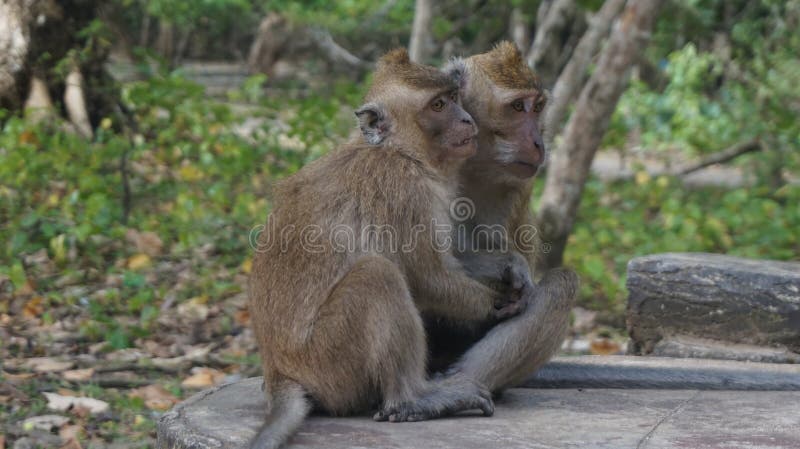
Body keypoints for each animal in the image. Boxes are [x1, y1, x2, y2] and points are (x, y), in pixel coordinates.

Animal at [247, 49, 528, 449]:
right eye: (438, 105)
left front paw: (514, 267)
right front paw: (500, 304)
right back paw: (413, 400)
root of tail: (278, 373)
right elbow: (429, 278)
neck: (401, 151)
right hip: (329, 363)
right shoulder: (407, 190)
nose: (466, 119)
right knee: (376, 276)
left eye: (455, 98)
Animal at [424, 41, 579, 393]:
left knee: (562, 284)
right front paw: (503, 265)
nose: (538, 141)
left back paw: (462, 383)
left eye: (537, 107)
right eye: (517, 107)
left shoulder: (520, 185)